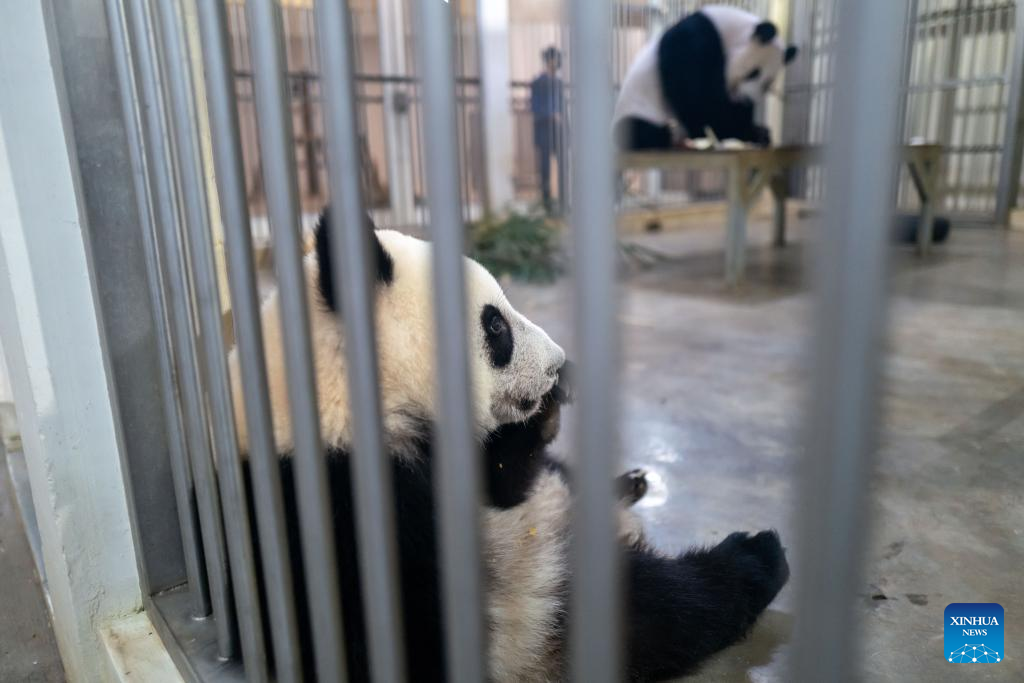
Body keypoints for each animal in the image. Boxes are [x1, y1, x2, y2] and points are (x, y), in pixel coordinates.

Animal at [228, 209, 790, 681]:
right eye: (495, 325)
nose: (561, 365)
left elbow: (501, 483)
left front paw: (549, 411)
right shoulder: (345, 518)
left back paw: (629, 484)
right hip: (545, 603)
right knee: (652, 607)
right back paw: (757, 558)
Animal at [614, 5, 798, 150]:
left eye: (767, 84)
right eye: (753, 72)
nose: (746, 99)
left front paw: (757, 131)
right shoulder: (694, 40)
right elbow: (697, 96)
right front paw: (743, 131)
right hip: (638, 108)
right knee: (639, 129)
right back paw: (667, 134)